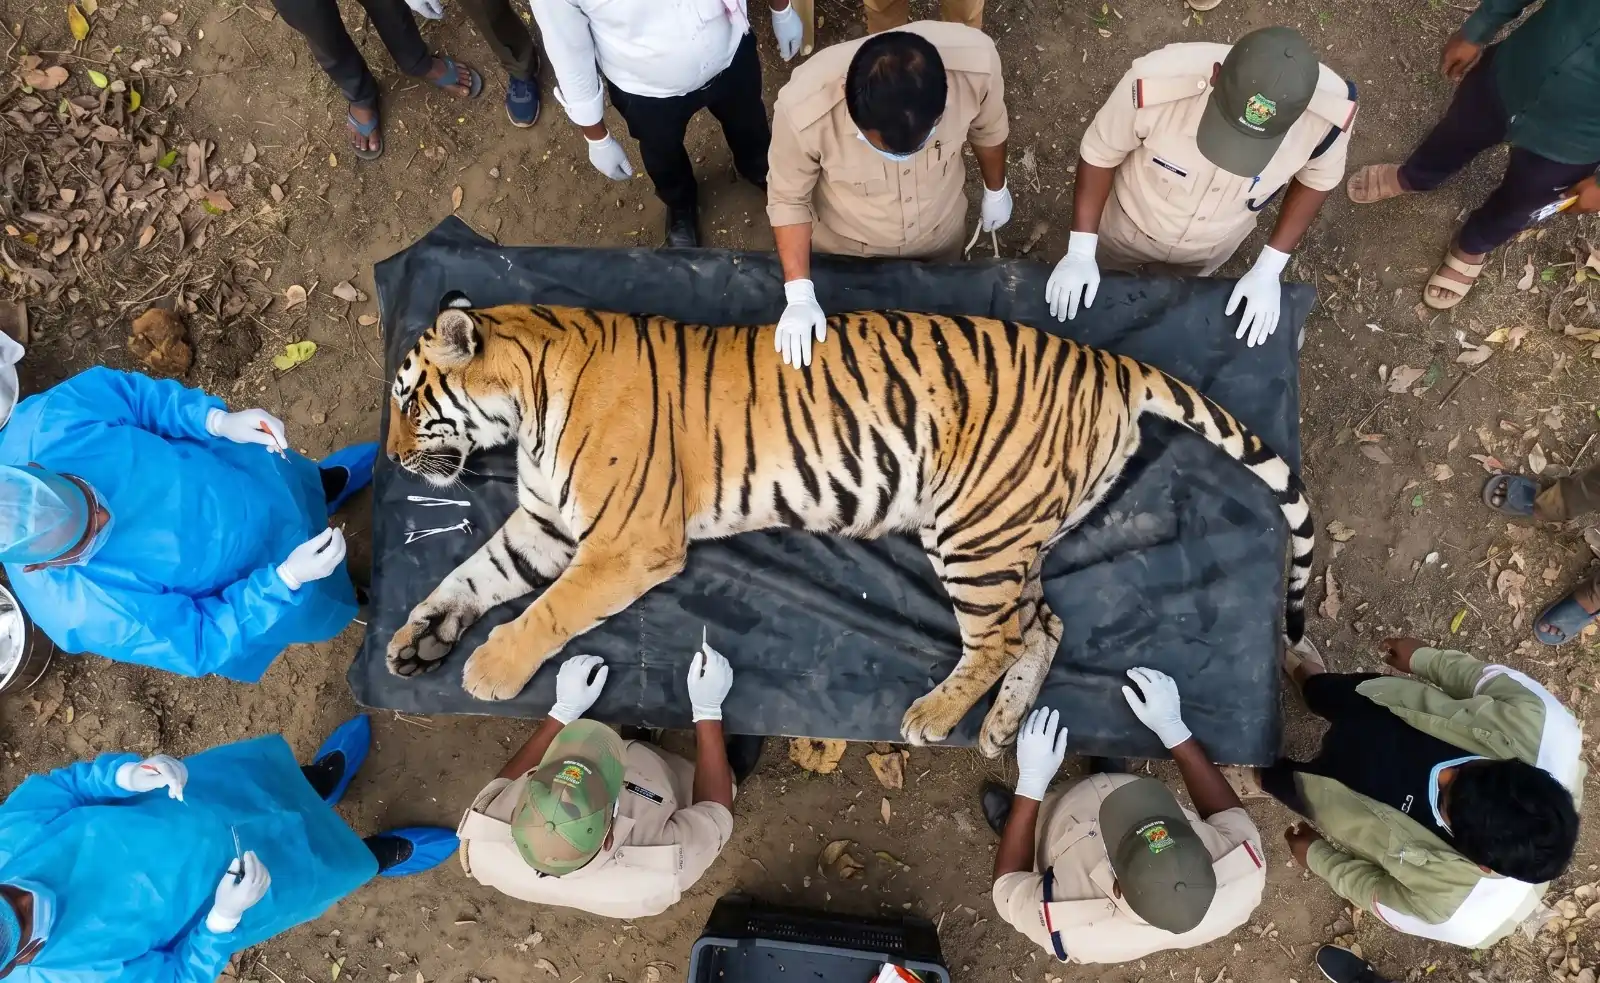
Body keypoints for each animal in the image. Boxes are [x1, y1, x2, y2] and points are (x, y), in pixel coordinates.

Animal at [385, 292, 1314, 757]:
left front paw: (489, 669)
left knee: (1001, 637)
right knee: (1045, 623)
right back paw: (1001, 728)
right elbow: (469, 575)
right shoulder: (546, 520)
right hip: (1015, 533)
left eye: (407, 399)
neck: (528, 400)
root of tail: (1109, 362)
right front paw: (417, 640)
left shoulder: (624, 542)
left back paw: (935, 717)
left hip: (974, 527)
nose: (390, 458)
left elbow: (548, 609)